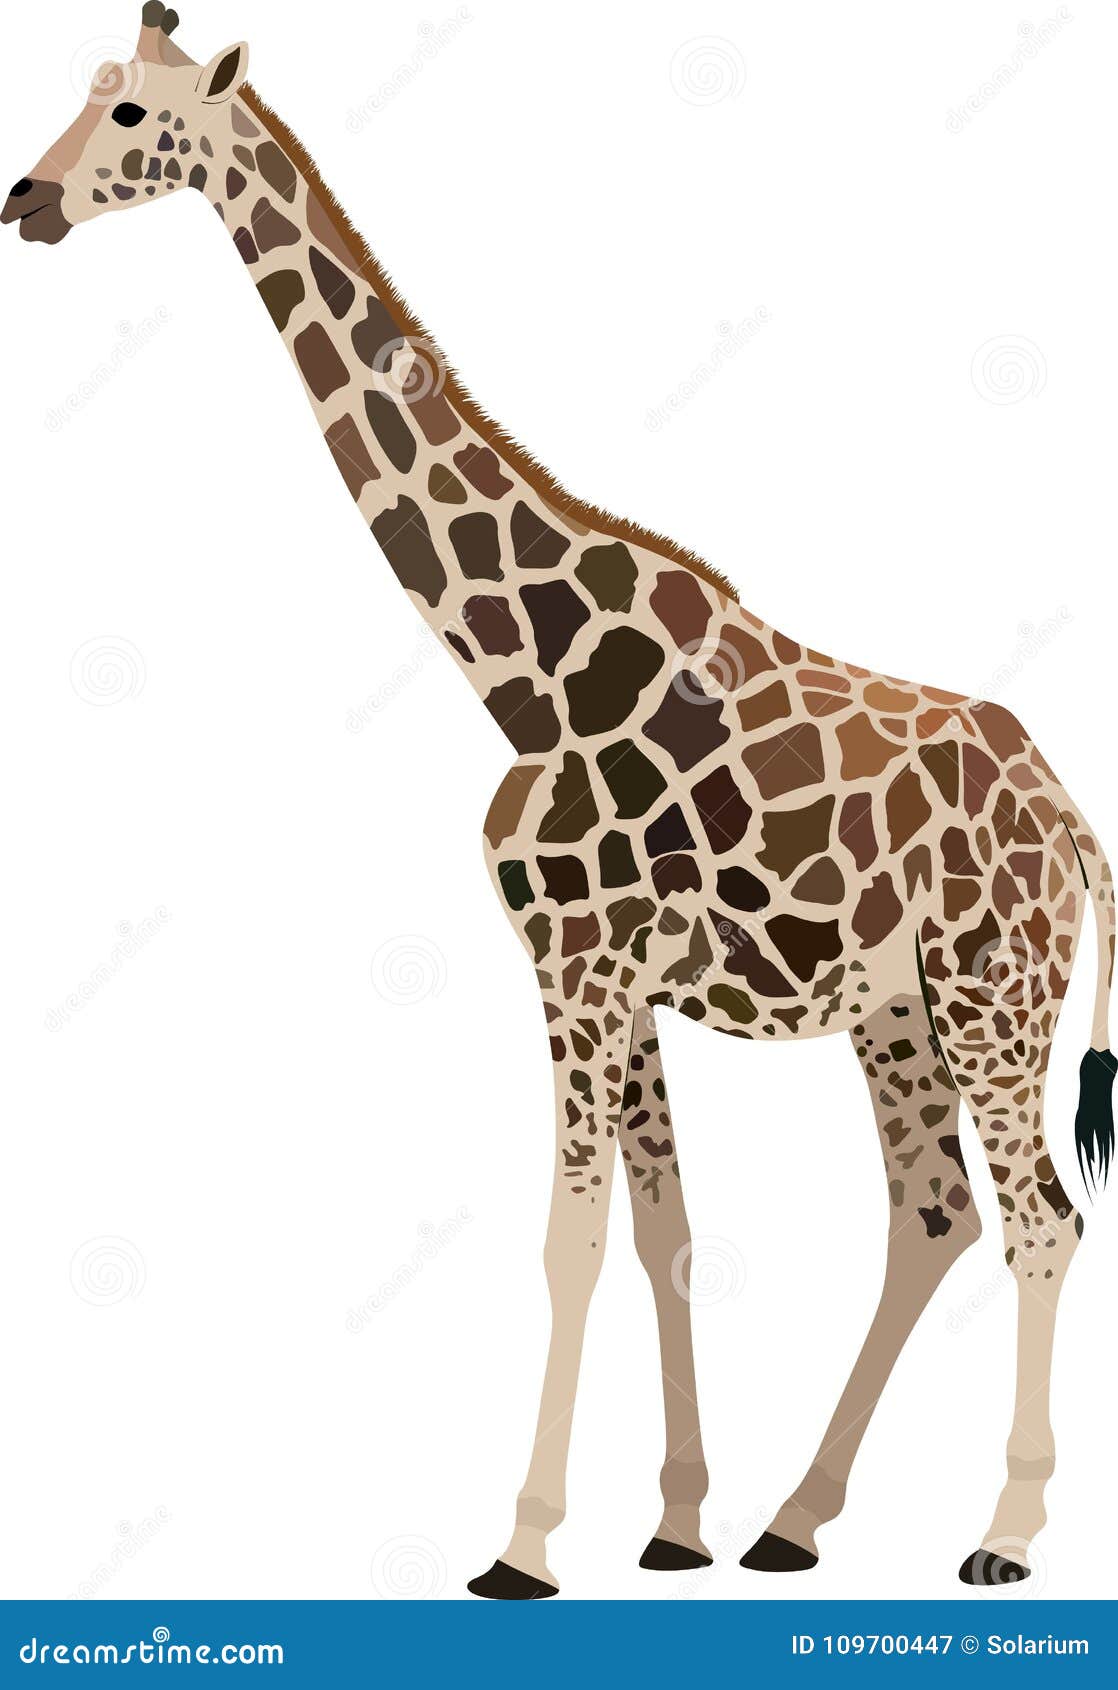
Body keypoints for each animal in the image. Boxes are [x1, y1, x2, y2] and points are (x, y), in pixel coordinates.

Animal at [4, 6, 1114, 1600]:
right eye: (82, 94)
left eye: (137, 113)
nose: (26, 200)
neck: (518, 671)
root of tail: (1070, 818)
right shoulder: (608, 973)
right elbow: (663, 1233)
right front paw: (675, 1524)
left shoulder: (579, 964)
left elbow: (569, 1238)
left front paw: (521, 1543)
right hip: (898, 1007)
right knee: (935, 1213)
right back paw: (793, 1521)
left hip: (993, 992)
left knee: (1039, 1216)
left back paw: (1003, 1535)